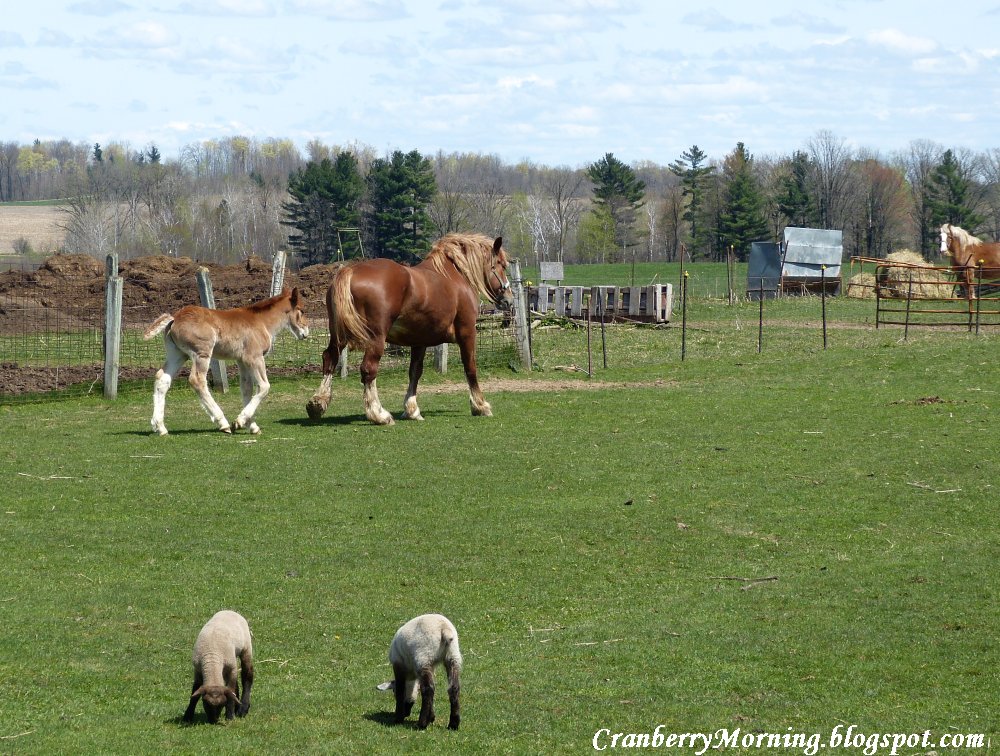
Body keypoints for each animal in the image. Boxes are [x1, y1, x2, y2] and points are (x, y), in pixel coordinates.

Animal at [143, 287, 309, 436]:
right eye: (301, 310)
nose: (306, 333)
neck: (261, 322)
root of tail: (175, 318)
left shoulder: (242, 361)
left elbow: (247, 389)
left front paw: (251, 426)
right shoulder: (254, 358)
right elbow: (264, 387)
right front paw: (240, 421)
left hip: (178, 355)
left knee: (162, 379)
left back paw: (160, 428)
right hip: (201, 354)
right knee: (197, 380)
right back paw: (222, 423)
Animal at [306, 233, 514, 426]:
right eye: (501, 265)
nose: (509, 300)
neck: (455, 276)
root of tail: (351, 270)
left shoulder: (419, 342)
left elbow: (415, 372)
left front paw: (412, 410)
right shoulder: (467, 332)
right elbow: (470, 367)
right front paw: (480, 405)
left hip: (338, 335)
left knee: (330, 359)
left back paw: (318, 403)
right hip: (376, 339)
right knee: (368, 370)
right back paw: (379, 414)